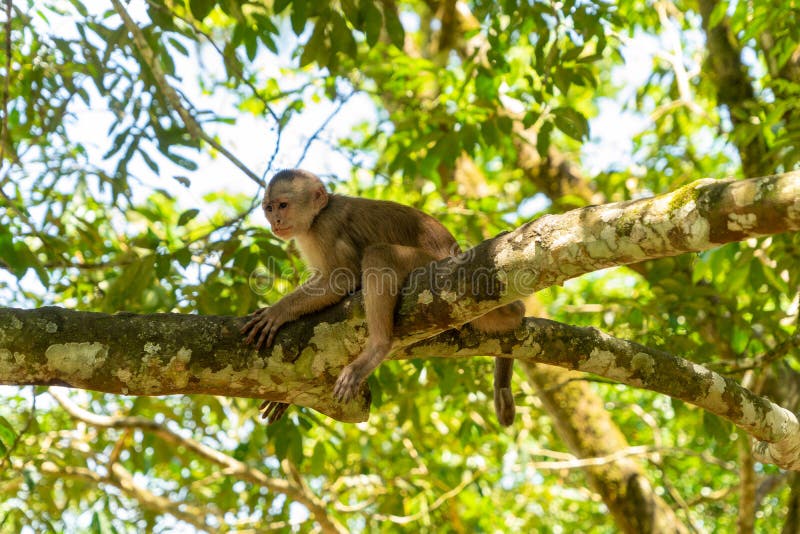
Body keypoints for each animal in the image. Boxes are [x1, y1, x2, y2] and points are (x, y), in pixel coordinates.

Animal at [241, 169, 524, 425]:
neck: (318, 214)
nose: (275, 220)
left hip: (433, 267)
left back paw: (378, 347)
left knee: (379, 255)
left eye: (283, 205)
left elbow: (342, 279)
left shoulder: (325, 228)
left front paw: (277, 311)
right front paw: (283, 400)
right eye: (269, 208)